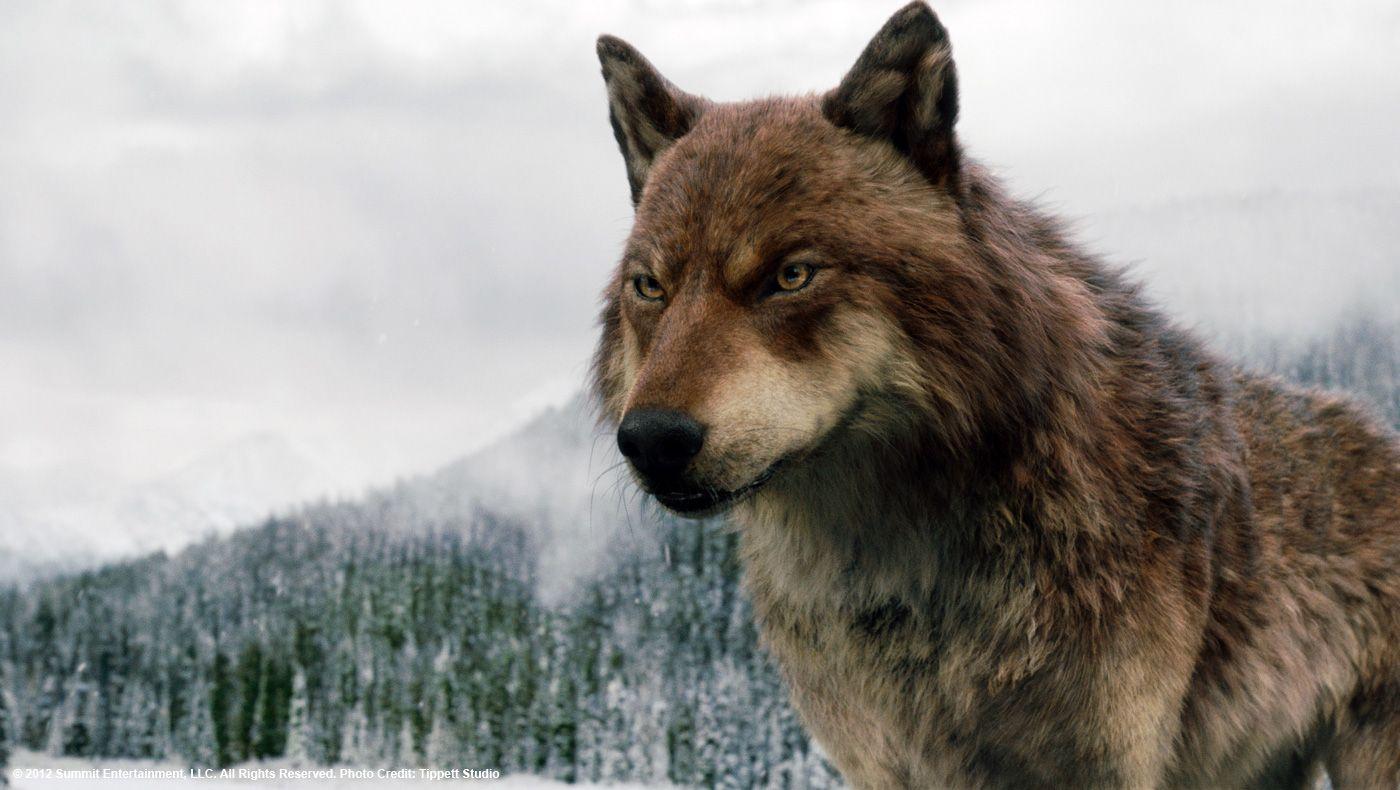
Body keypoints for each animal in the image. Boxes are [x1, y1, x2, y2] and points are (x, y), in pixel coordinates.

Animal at [590, 3, 1400, 787]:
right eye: (650, 288)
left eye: (790, 275)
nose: (652, 438)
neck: (903, 564)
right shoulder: (882, 767)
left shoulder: (1108, 764)